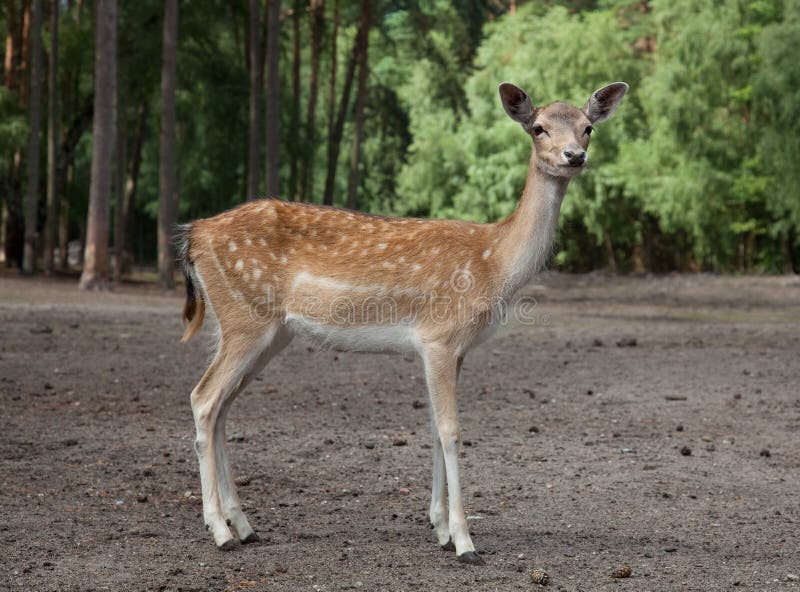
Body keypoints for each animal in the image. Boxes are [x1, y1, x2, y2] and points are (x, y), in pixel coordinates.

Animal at [178, 81, 628, 564]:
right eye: (539, 127)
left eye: (587, 127)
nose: (573, 155)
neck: (494, 264)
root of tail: (195, 235)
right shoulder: (439, 338)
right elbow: (450, 430)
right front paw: (464, 542)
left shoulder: (454, 349)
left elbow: (431, 427)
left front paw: (440, 528)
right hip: (244, 319)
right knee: (204, 398)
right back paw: (220, 532)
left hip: (267, 332)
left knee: (222, 406)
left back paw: (244, 526)